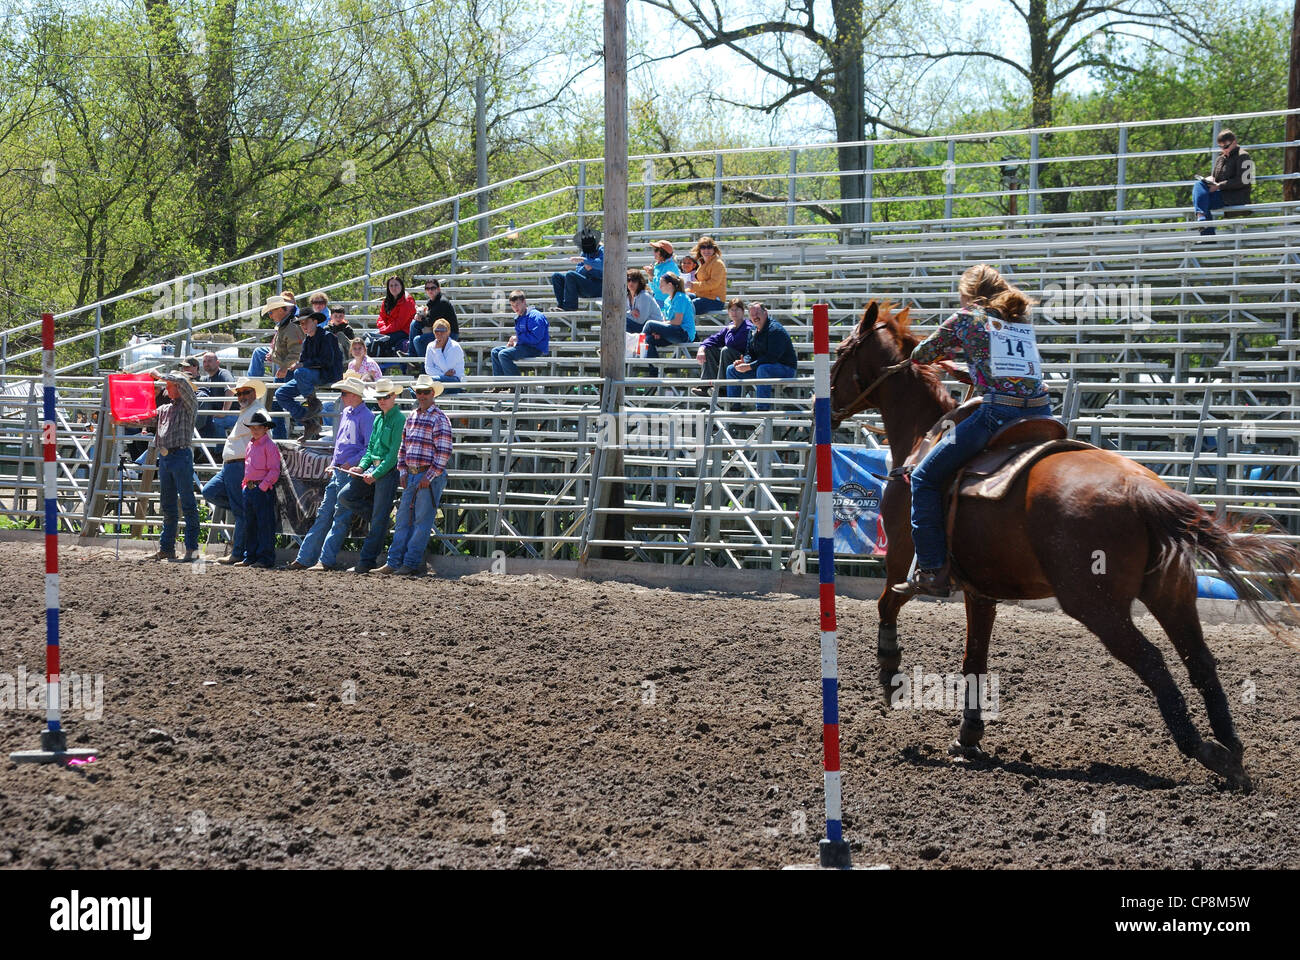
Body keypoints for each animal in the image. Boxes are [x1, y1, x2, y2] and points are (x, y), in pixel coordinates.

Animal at [829, 300, 1300, 790]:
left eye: (841, 351)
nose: (822, 406)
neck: (920, 439)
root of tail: (1141, 490)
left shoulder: (904, 562)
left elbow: (887, 605)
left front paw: (890, 674)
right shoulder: (981, 591)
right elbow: (974, 657)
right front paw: (967, 738)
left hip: (1096, 603)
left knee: (1152, 660)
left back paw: (1205, 750)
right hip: (1171, 591)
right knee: (1200, 660)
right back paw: (1233, 754)